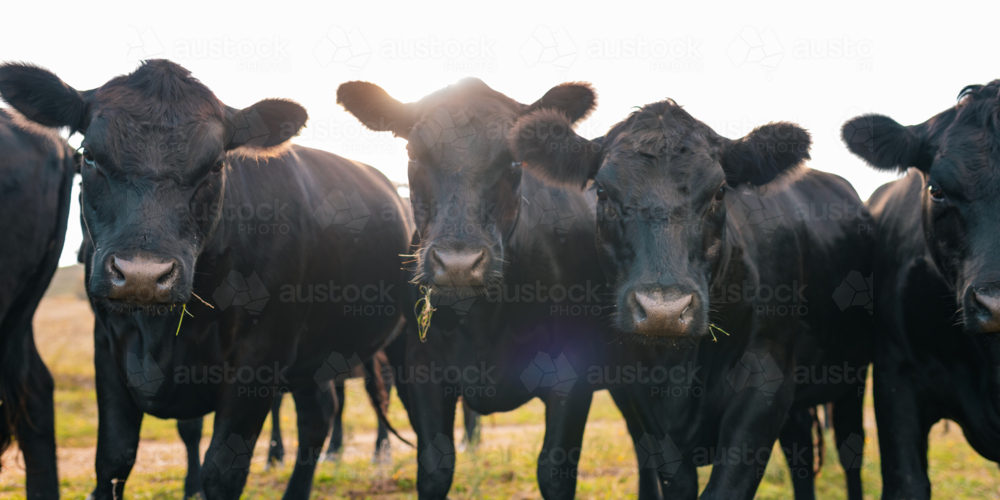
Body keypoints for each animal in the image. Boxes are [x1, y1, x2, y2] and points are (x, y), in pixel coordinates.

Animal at [0, 59, 413, 500]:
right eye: (90, 157)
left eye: (216, 165)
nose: (142, 275)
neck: (160, 334)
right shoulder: (108, 347)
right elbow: (113, 461)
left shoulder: (259, 358)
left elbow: (223, 472)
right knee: (318, 416)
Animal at [337, 78, 651, 499]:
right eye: (412, 152)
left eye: (516, 161)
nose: (458, 263)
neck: (482, 322)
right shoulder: (421, 371)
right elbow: (434, 468)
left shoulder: (570, 375)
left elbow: (555, 472)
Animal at [512, 98, 874, 499]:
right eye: (602, 193)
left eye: (720, 191)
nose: (663, 311)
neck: (681, 368)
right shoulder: (644, 398)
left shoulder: (768, 381)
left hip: (852, 374)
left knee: (849, 449)